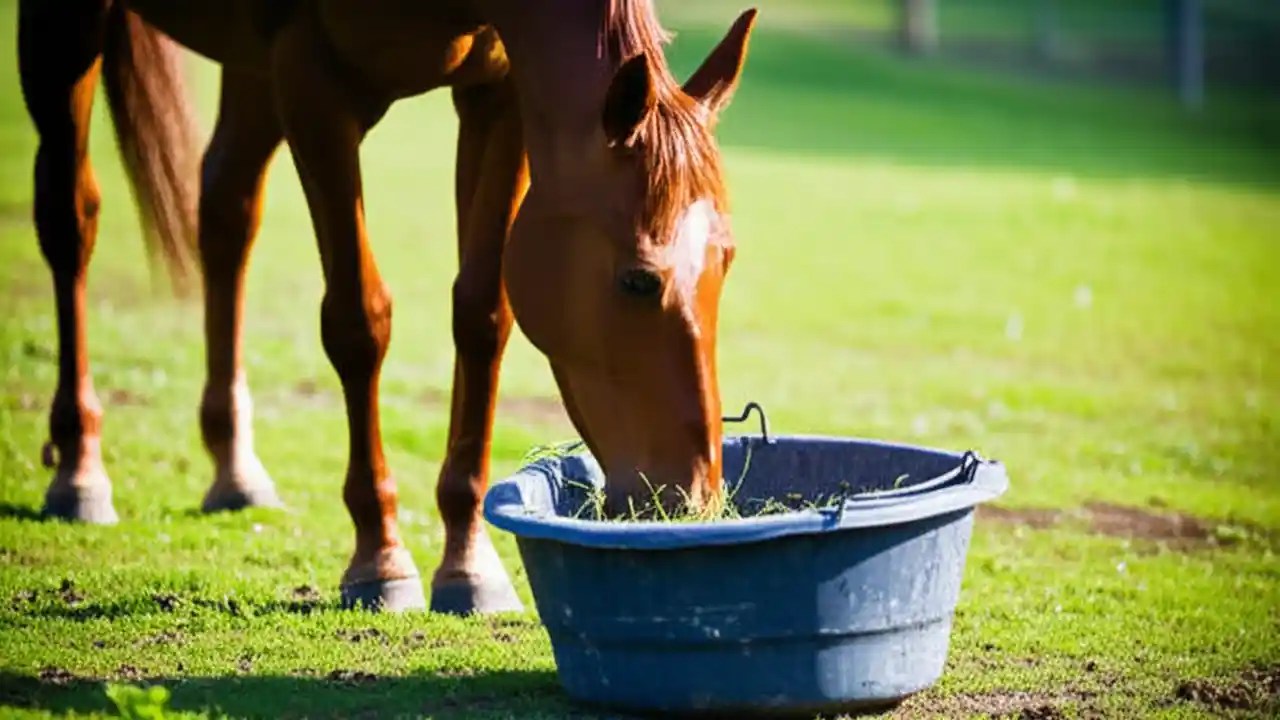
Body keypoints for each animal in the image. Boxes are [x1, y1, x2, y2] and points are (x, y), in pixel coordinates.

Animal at [17, 0, 757, 613]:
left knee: (226, 206)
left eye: (727, 262)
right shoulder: (312, 84)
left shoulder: (500, 95)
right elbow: (358, 321)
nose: (691, 496)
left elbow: (483, 316)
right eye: (637, 282)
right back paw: (79, 470)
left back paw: (234, 468)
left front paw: (467, 563)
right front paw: (380, 557)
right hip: (71, 24)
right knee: (70, 220)